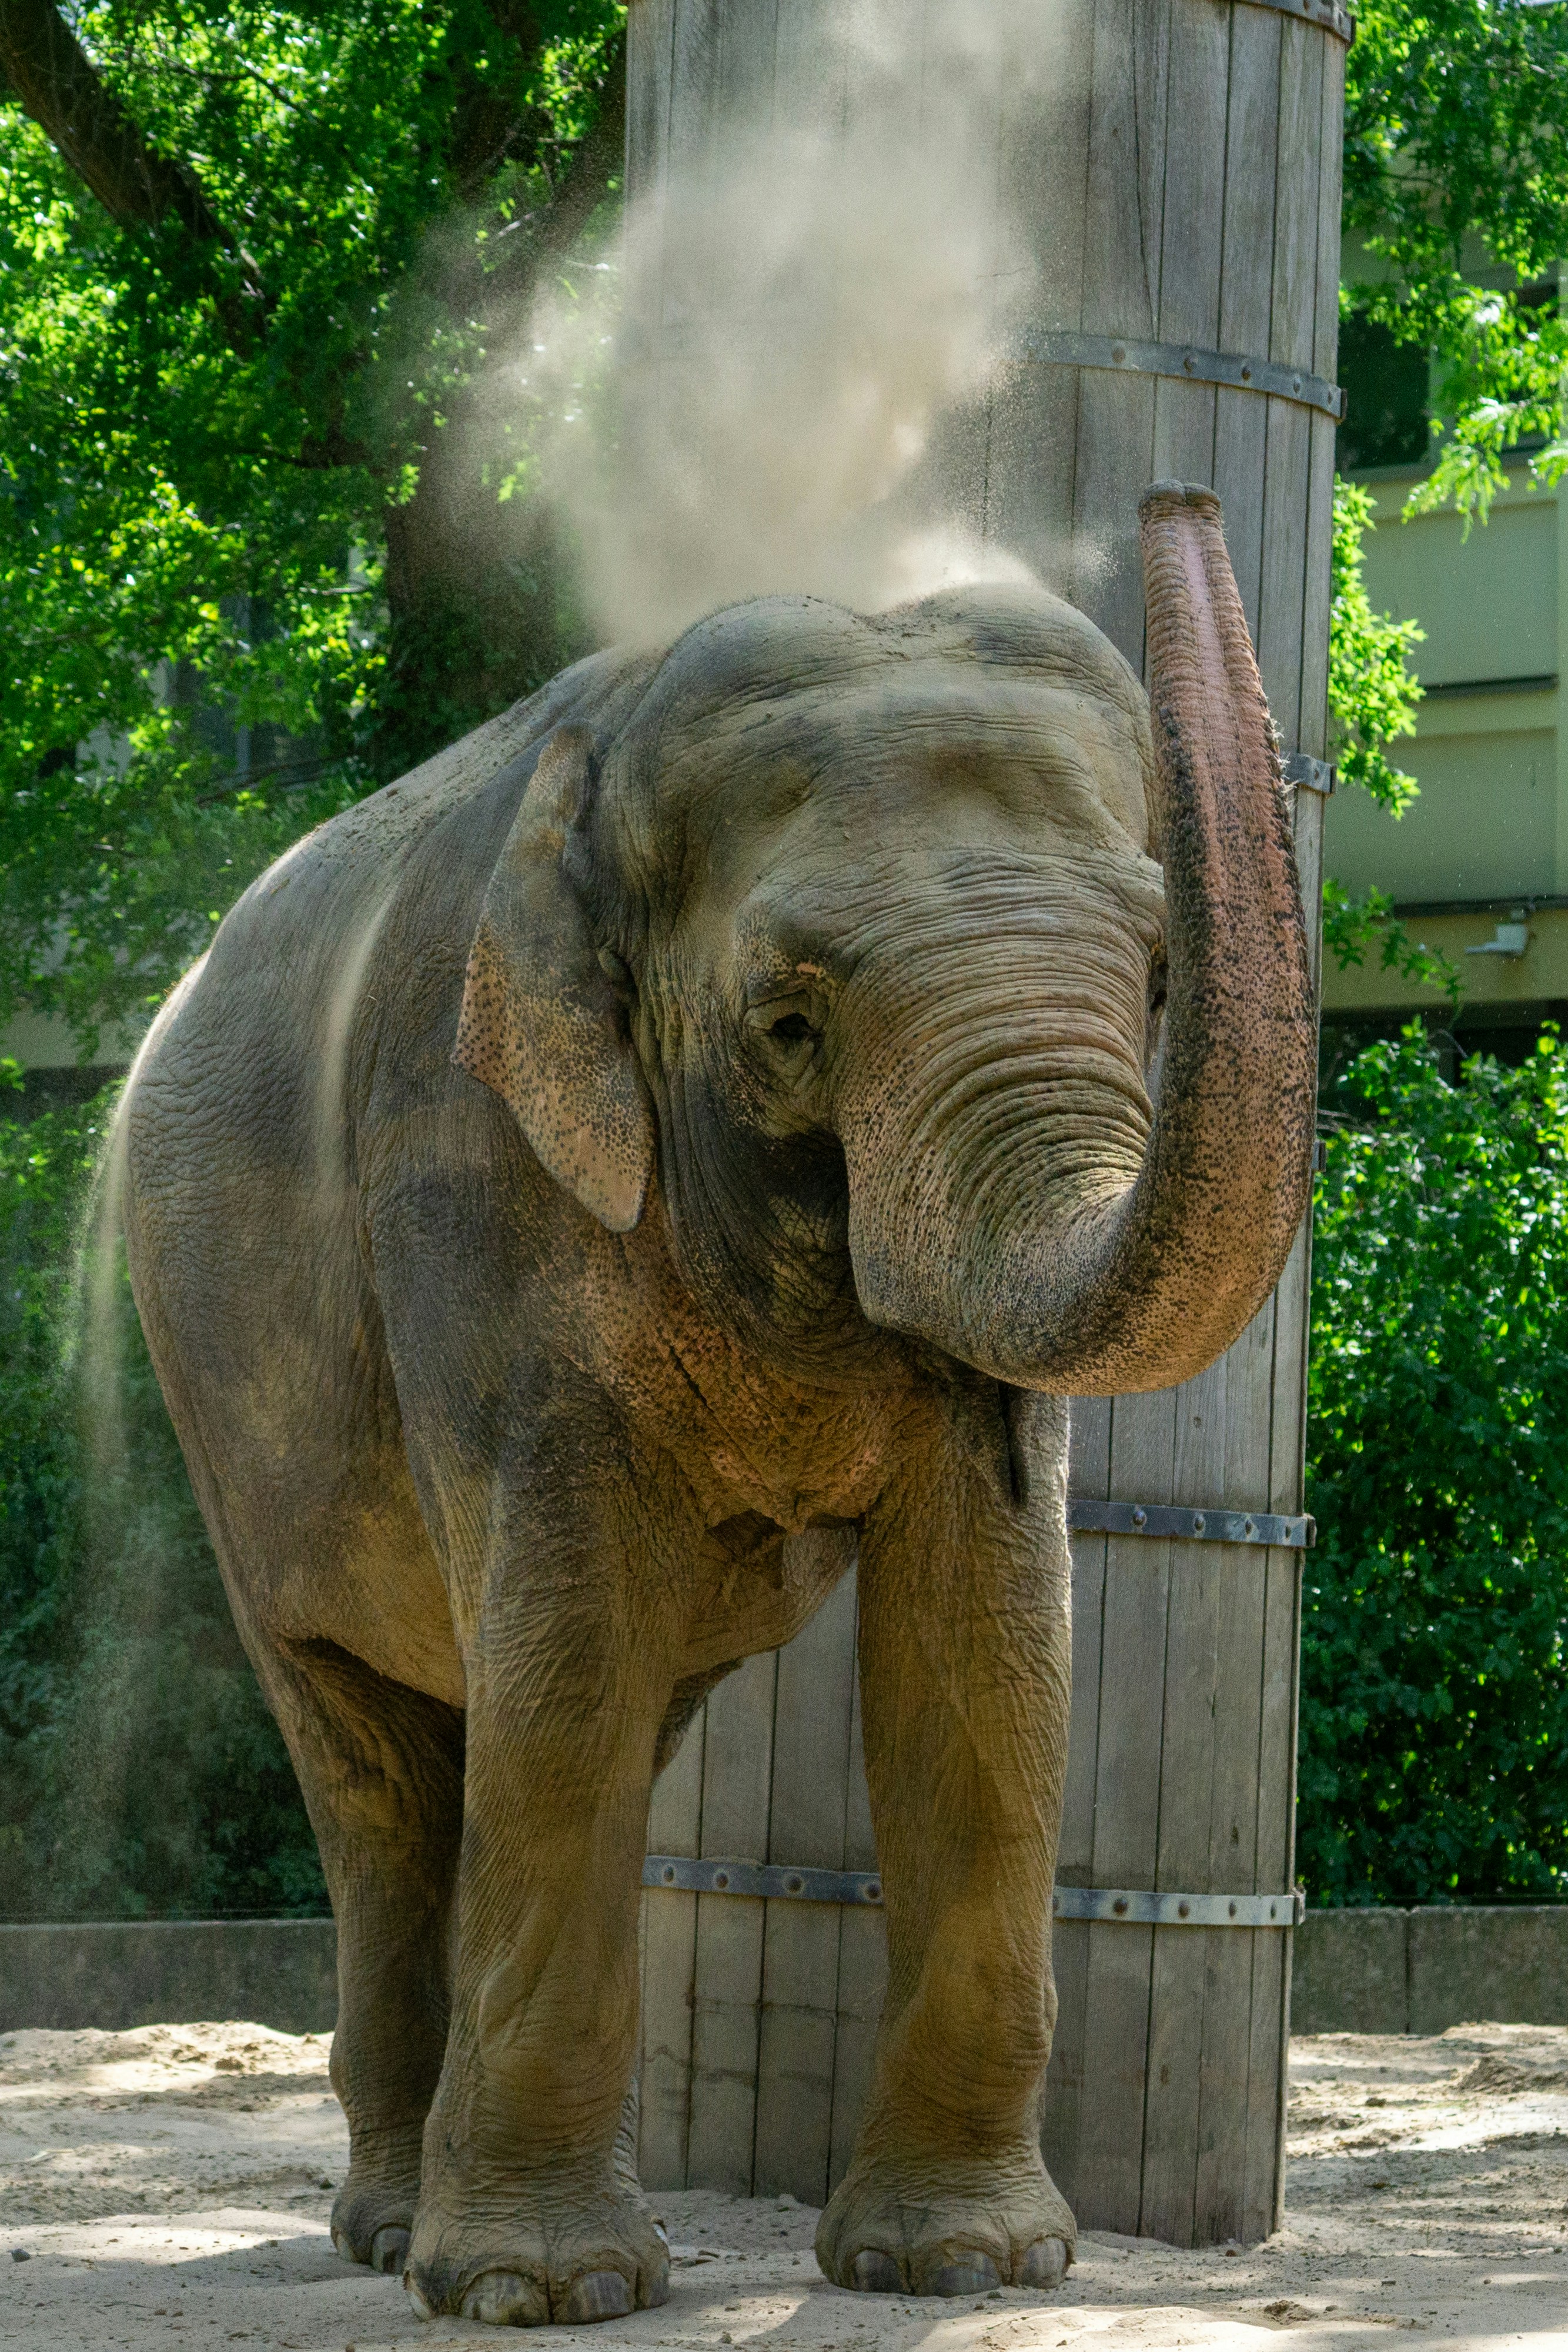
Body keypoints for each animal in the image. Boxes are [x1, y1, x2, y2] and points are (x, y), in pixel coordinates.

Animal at [119, 483, 1315, 2326]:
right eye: (789, 1021)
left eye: (1163, 974)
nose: (1176, 503)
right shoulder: (467, 1178)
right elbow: (564, 1646)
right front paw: (537, 2296)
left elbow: (986, 1641)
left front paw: (961, 2266)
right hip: (216, 1411)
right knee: (385, 1760)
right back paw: (398, 2234)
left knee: (591, 1720)